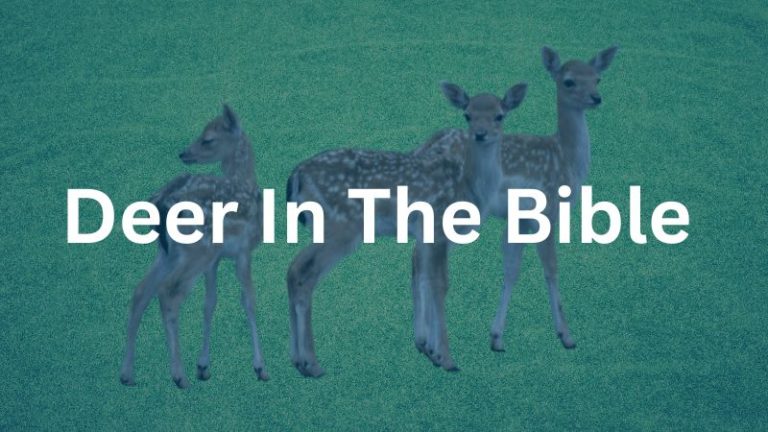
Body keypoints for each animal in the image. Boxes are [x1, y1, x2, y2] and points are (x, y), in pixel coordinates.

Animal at [119, 105, 269, 388]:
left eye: (207, 138)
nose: (183, 153)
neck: (246, 183)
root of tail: (160, 200)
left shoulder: (216, 259)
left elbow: (210, 303)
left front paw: (204, 367)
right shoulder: (243, 250)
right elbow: (249, 300)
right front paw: (260, 368)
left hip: (168, 252)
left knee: (141, 291)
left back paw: (127, 374)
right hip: (196, 249)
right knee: (168, 292)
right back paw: (178, 375)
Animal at [285, 81, 528, 377]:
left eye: (499, 115)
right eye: (467, 115)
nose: (480, 134)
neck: (469, 187)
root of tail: (296, 175)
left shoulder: (428, 234)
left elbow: (425, 277)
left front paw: (431, 351)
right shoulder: (437, 226)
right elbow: (439, 283)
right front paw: (446, 358)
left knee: (294, 270)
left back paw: (298, 361)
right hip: (342, 226)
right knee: (303, 272)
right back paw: (311, 363)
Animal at [415, 46, 619, 352]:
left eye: (597, 78)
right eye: (569, 81)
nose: (596, 98)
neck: (566, 159)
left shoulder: (520, 216)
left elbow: (512, 268)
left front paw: (496, 337)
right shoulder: (547, 207)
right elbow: (551, 268)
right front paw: (566, 335)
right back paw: (428, 340)